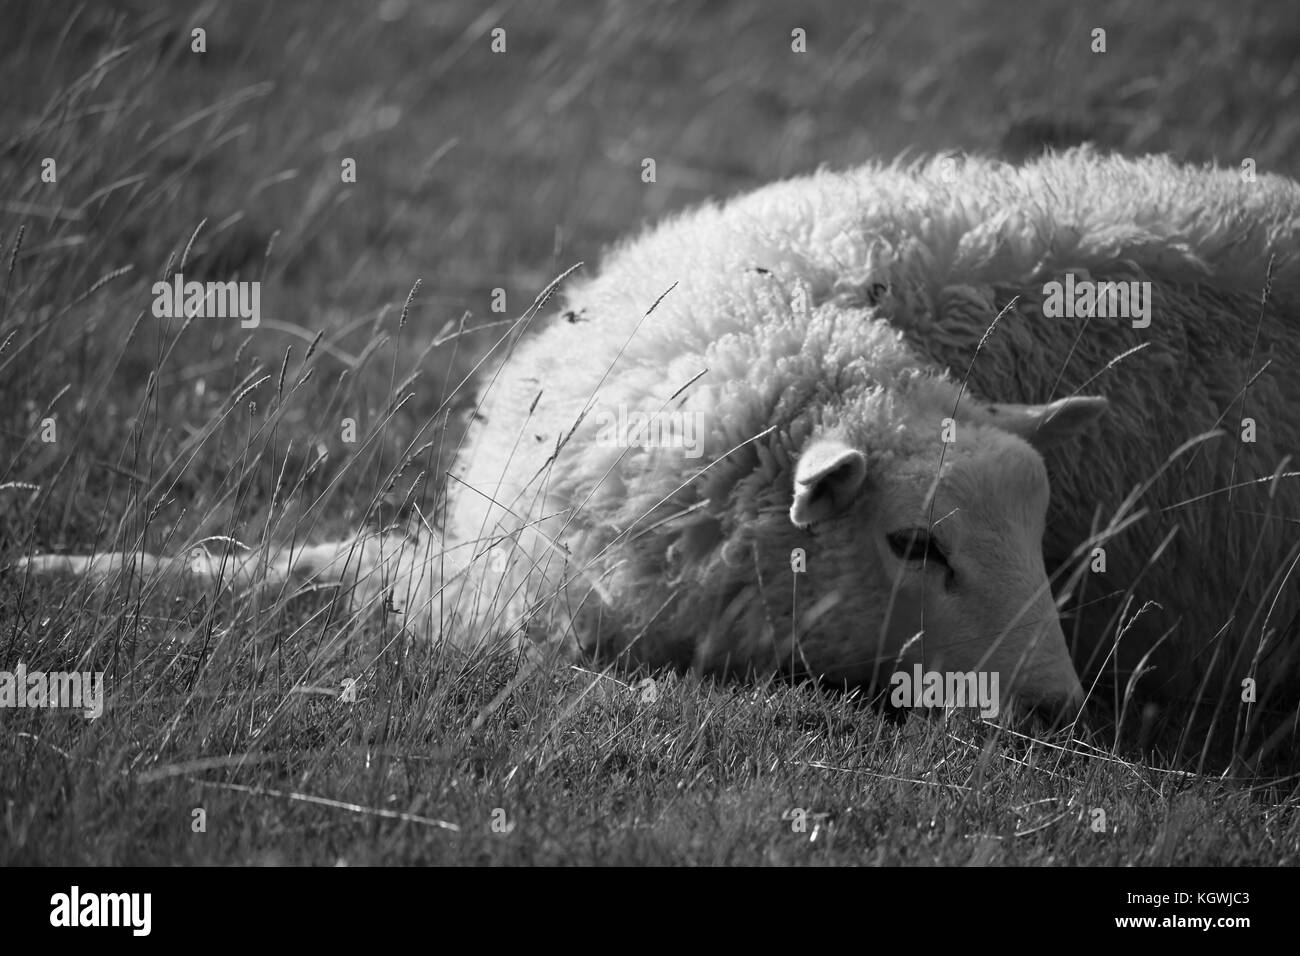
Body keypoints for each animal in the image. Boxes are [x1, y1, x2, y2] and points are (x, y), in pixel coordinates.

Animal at [21, 148, 1300, 727]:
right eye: (914, 544)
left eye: (1042, 542)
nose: (1055, 706)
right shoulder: (491, 563)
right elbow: (286, 565)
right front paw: (62, 566)